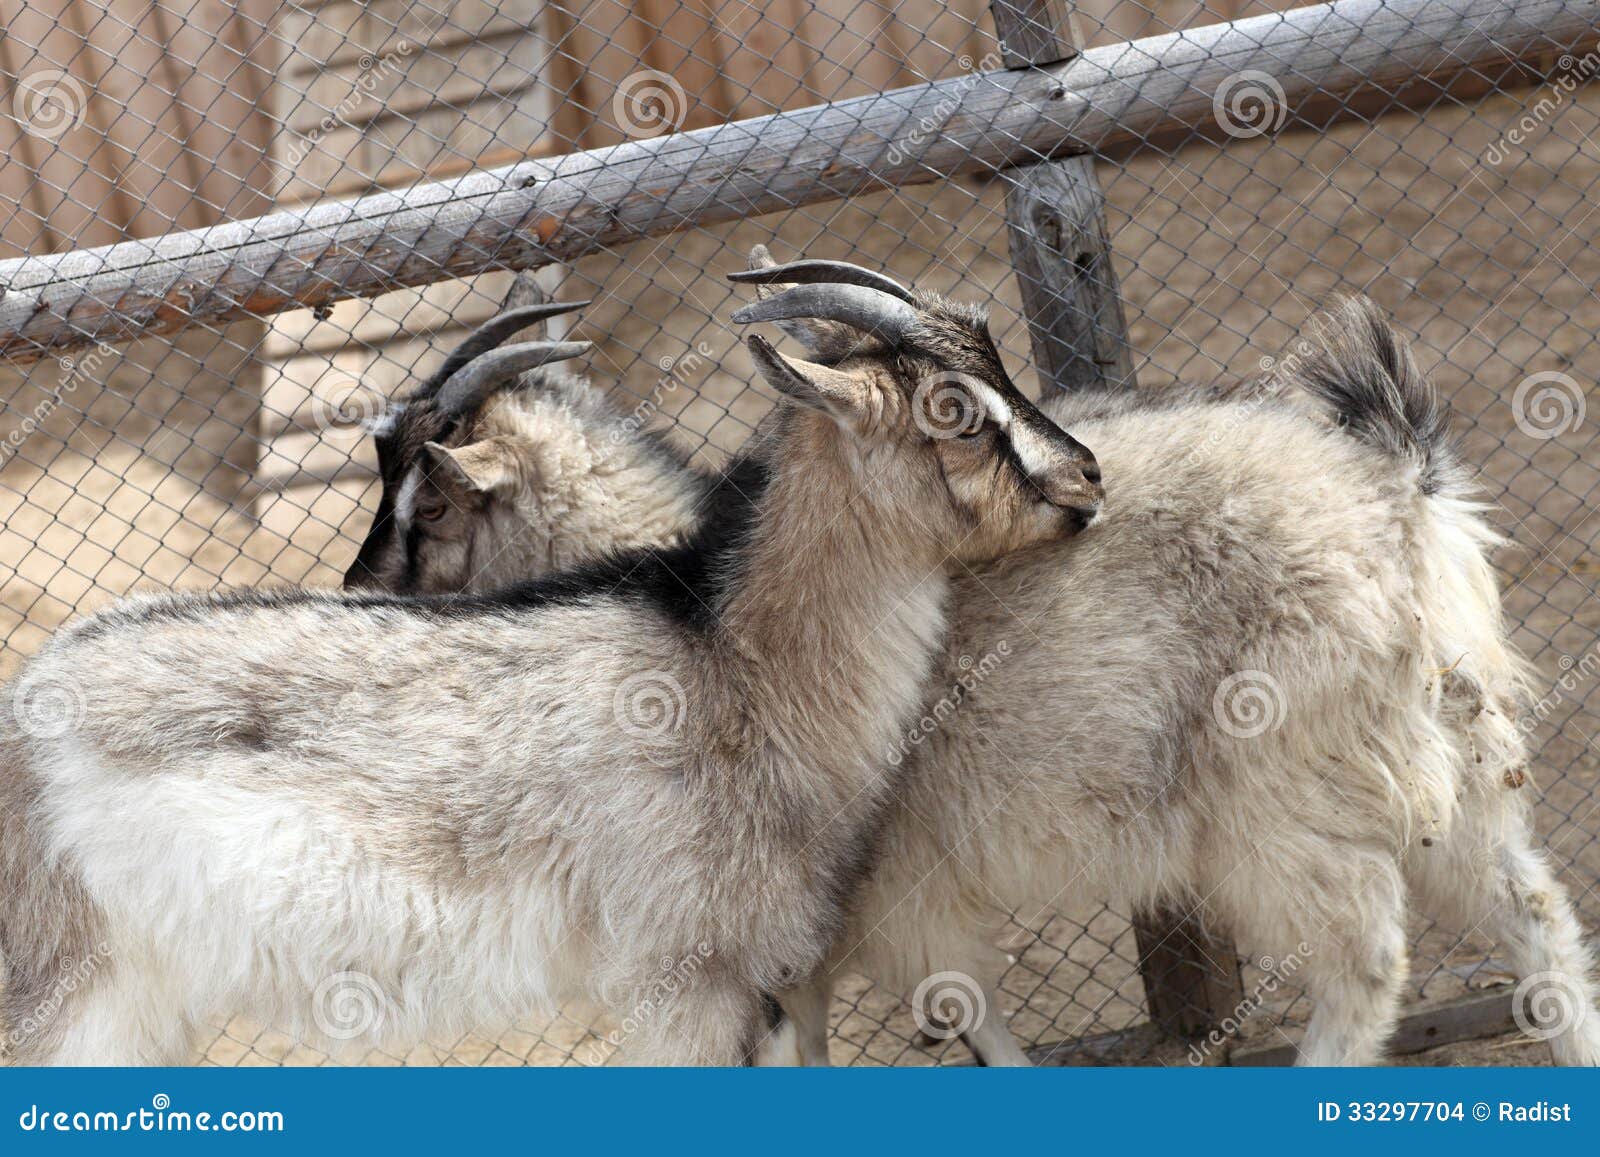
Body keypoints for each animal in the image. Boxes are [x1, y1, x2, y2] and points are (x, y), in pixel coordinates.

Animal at [0, 265, 1102, 1065]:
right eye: (956, 411)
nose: (1087, 476)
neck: (731, 665)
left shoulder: (780, 972)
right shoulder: (686, 976)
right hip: (78, 990)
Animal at [347, 250, 1600, 1068]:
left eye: (433, 504)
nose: (360, 589)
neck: (724, 628)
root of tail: (1396, 492)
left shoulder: (858, 915)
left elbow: (946, 1024)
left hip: (1278, 795)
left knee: (1364, 956)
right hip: (1454, 758)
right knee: (1533, 908)